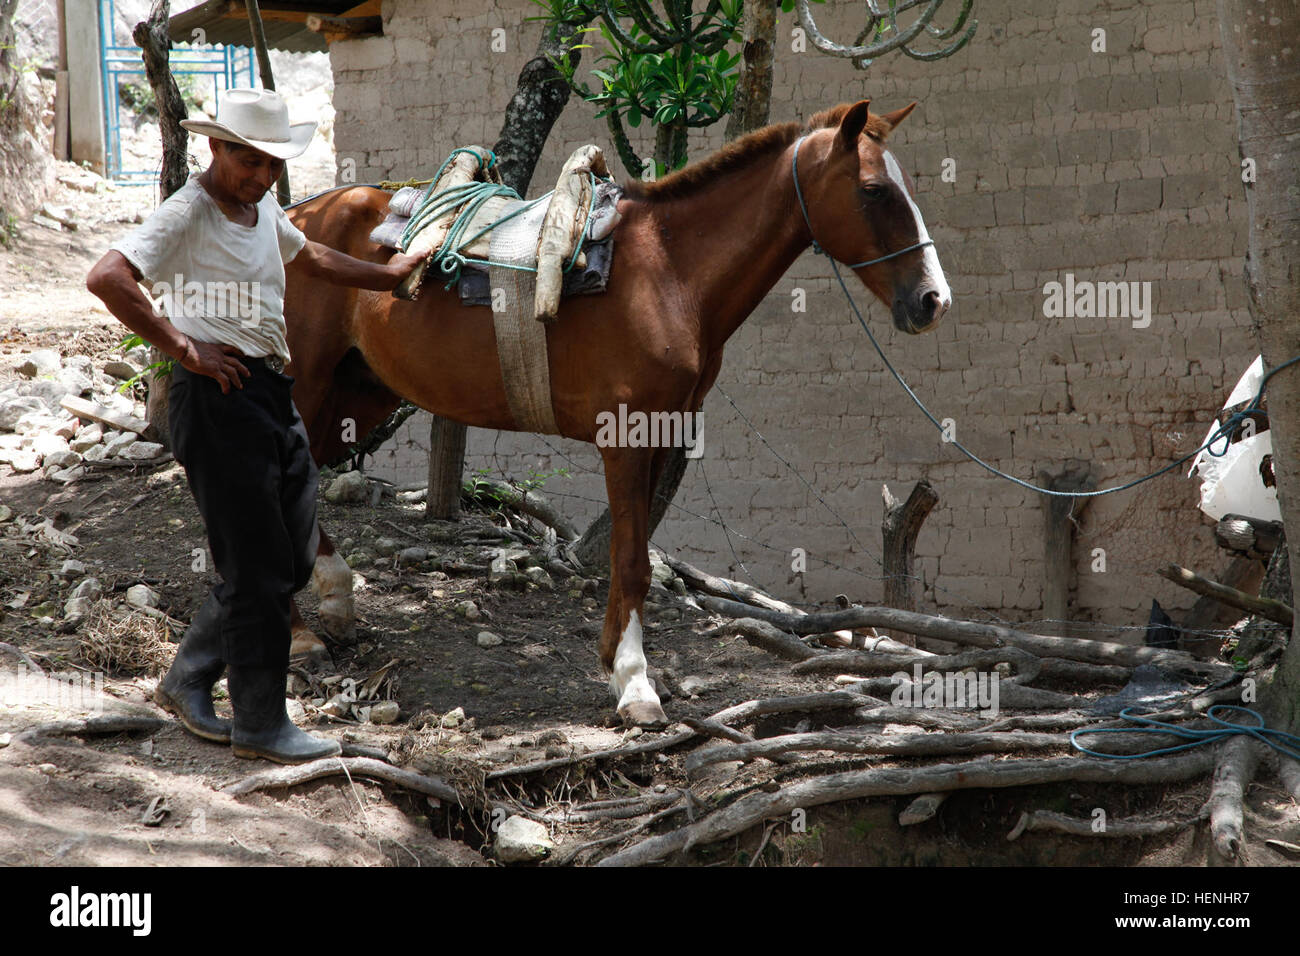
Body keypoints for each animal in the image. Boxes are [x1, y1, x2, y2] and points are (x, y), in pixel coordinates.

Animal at [282, 100, 952, 728]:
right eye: (874, 190)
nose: (933, 300)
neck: (670, 271)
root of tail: (298, 219)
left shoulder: (664, 431)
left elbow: (637, 559)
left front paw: (616, 663)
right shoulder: (626, 435)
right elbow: (629, 561)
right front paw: (634, 683)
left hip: (356, 393)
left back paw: (337, 599)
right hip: (306, 386)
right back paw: (302, 634)